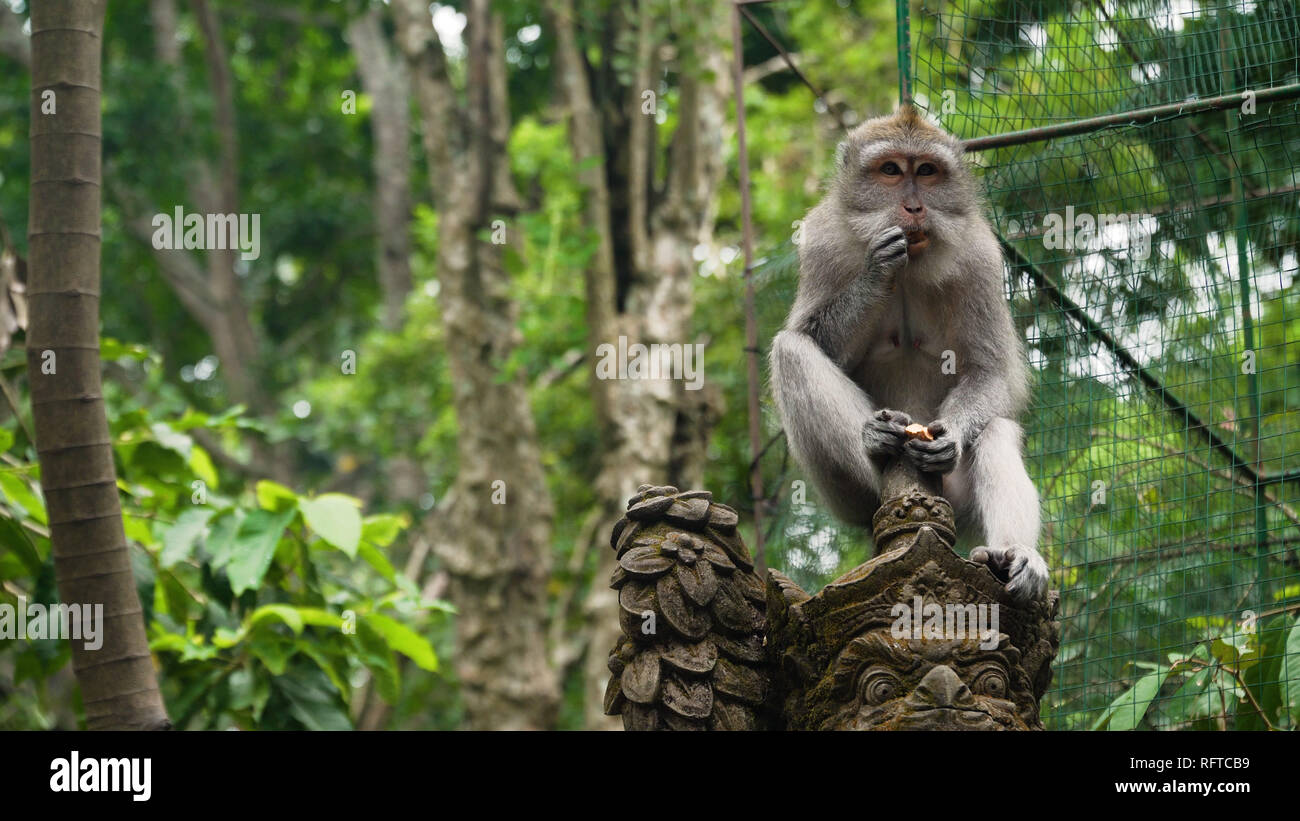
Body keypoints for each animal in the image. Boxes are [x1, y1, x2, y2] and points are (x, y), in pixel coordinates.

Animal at [769, 105, 1048, 603]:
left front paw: (950, 436)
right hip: (852, 499)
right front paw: (876, 272)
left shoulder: (980, 255)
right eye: (891, 171)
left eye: (927, 172)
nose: (915, 208)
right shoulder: (820, 240)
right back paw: (875, 443)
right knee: (790, 351)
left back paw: (1011, 557)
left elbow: (990, 371)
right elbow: (810, 337)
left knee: (995, 429)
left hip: (956, 500)